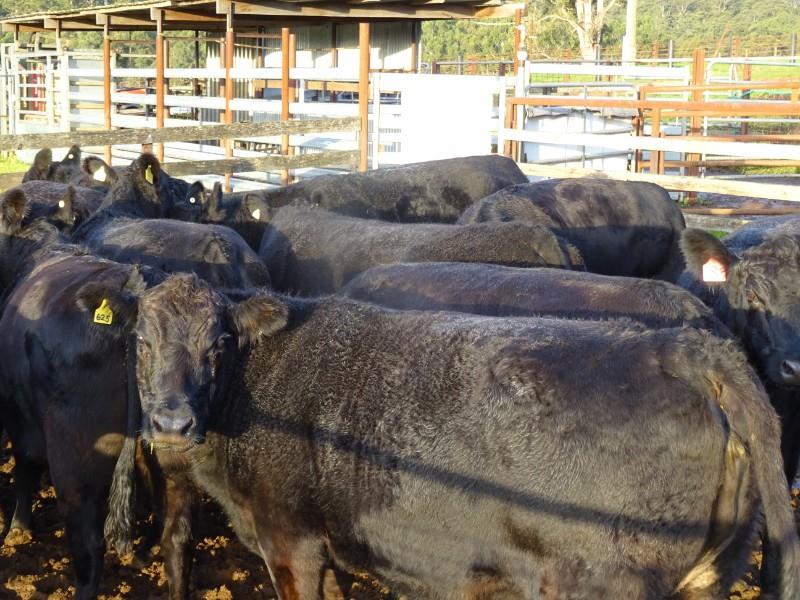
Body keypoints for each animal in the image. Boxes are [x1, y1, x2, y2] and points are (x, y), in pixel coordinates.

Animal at [103, 273, 799, 599]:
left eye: (218, 343)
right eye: (140, 342)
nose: (171, 422)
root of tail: (685, 348)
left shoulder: (288, 538)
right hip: (710, 574)